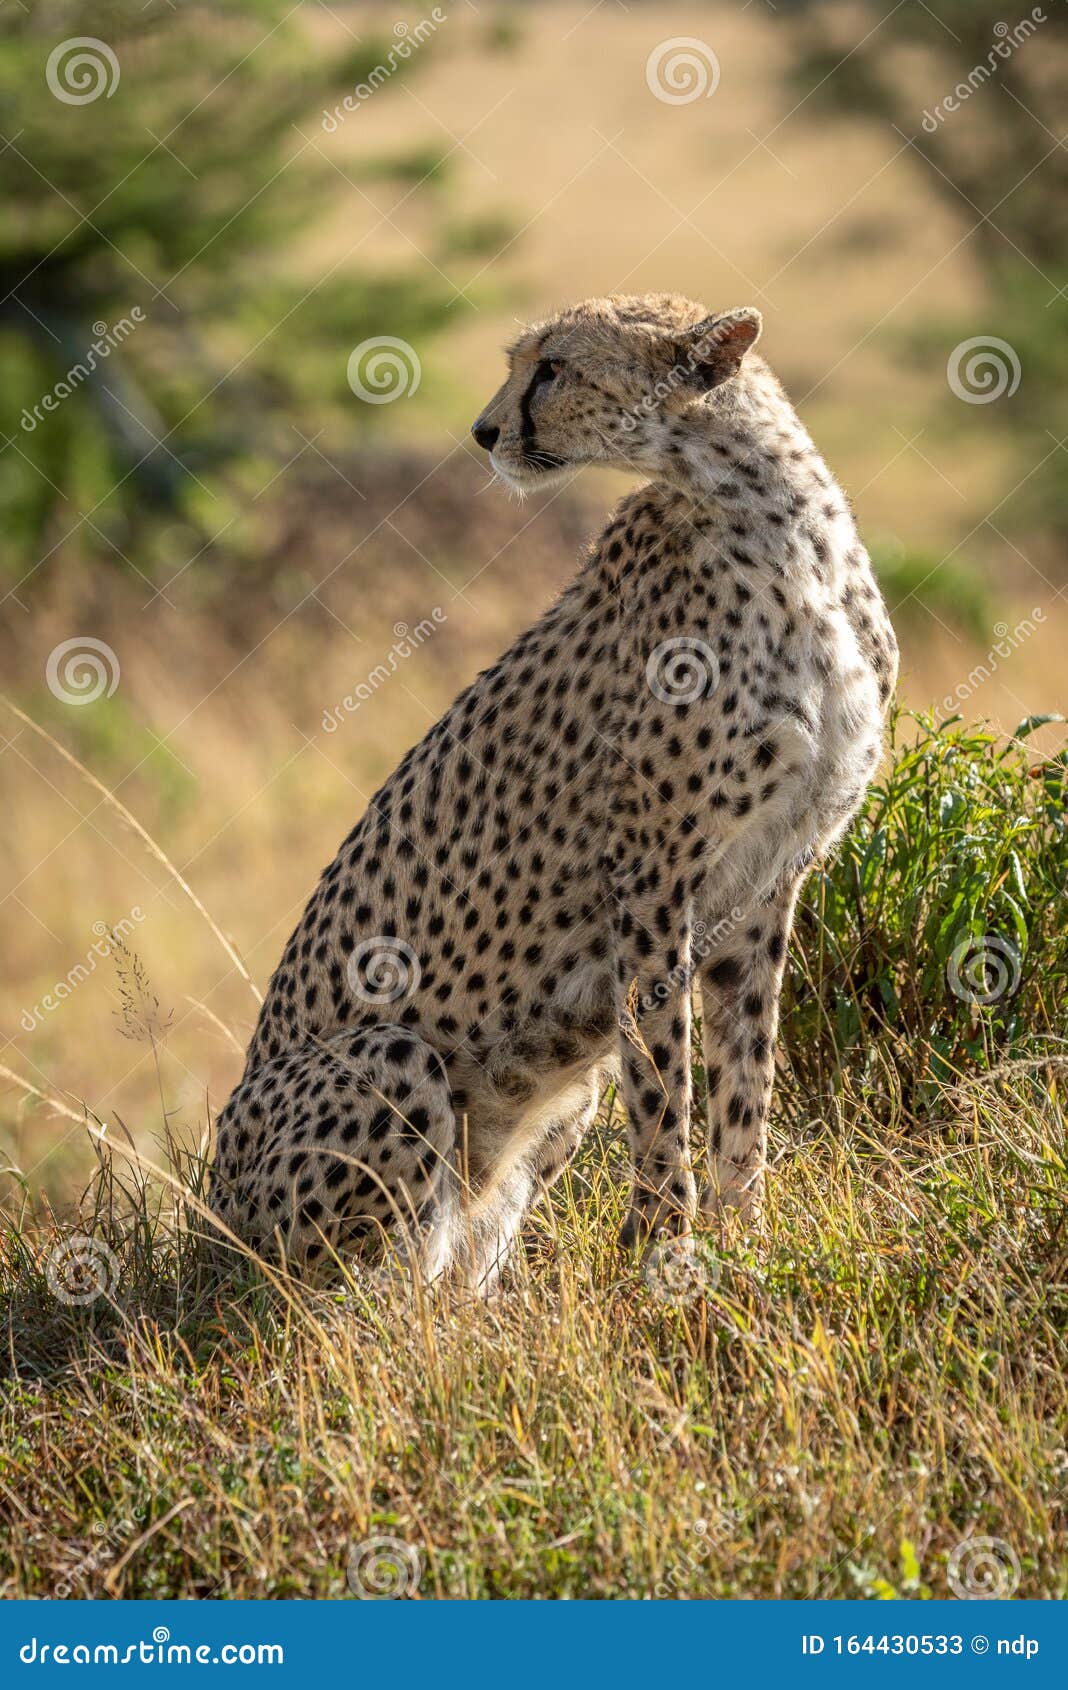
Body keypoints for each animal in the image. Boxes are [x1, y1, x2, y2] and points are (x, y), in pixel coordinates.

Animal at [209, 292, 898, 1293]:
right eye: (520, 363)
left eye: (555, 368)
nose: (483, 431)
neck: (774, 521)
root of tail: (207, 1209)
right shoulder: (650, 874)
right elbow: (665, 1076)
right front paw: (666, 1254)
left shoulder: (769, 881)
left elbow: (745, 1078)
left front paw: (748, 1244)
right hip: (384, 1061)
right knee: (364, 1303)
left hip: (553, 1109)